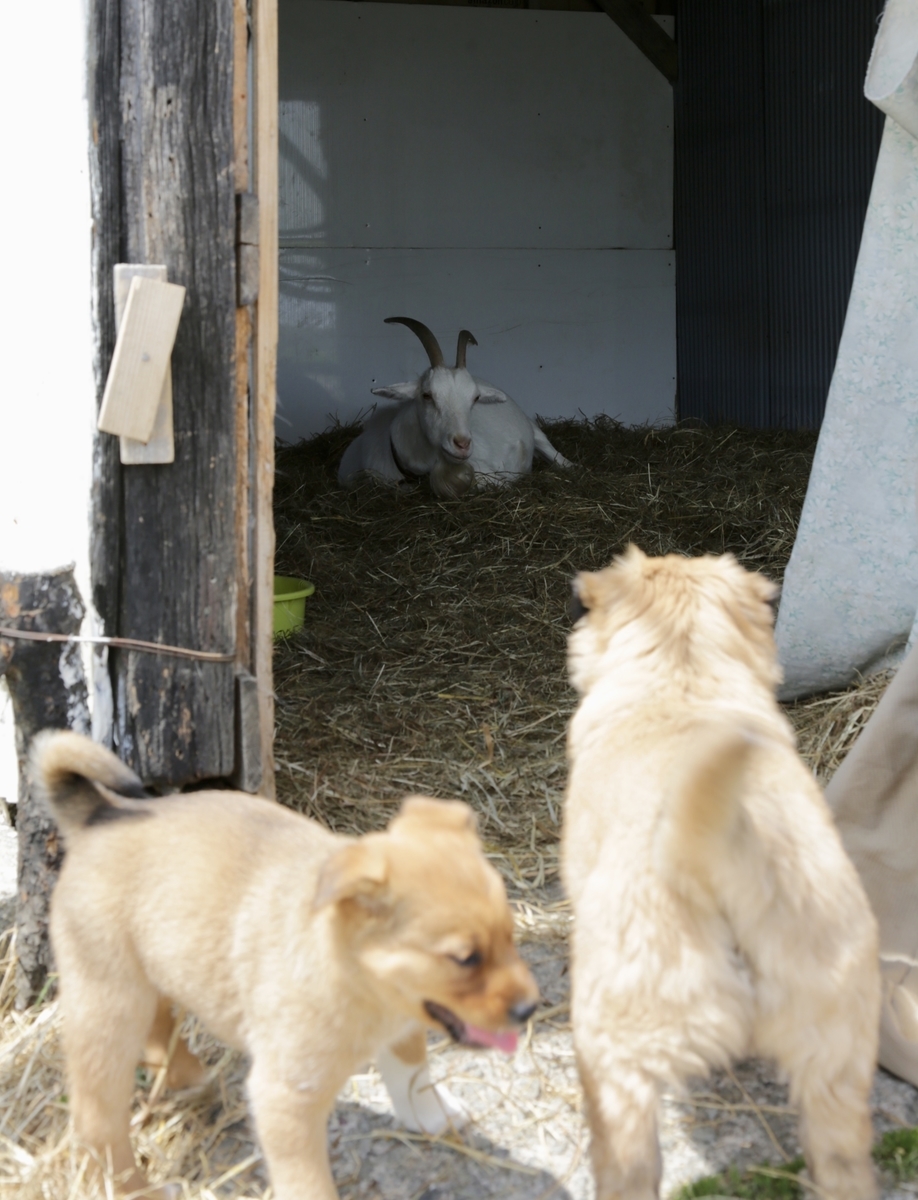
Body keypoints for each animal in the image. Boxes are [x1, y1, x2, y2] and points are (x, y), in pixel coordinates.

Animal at [34, 729, 537, 1200]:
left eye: (511, 936)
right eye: (465, 958)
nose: (530, 1010)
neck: (351, 975)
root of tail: (100, 814)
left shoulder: (404, 1022)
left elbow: (412, 1073)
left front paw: (434, 1116)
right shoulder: (285, 1098)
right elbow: (308, 1182)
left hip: (146, 970)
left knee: (159, 1022)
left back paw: (189, 1077)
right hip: (108, 1000)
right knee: (96, 1120)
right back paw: (139, 1188)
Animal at [561, 549, 878, 1195]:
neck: (681, 675)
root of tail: (723, 856)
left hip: (616, 1047)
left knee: (629, 1162)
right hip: (839, 1050)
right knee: (842, 1163)